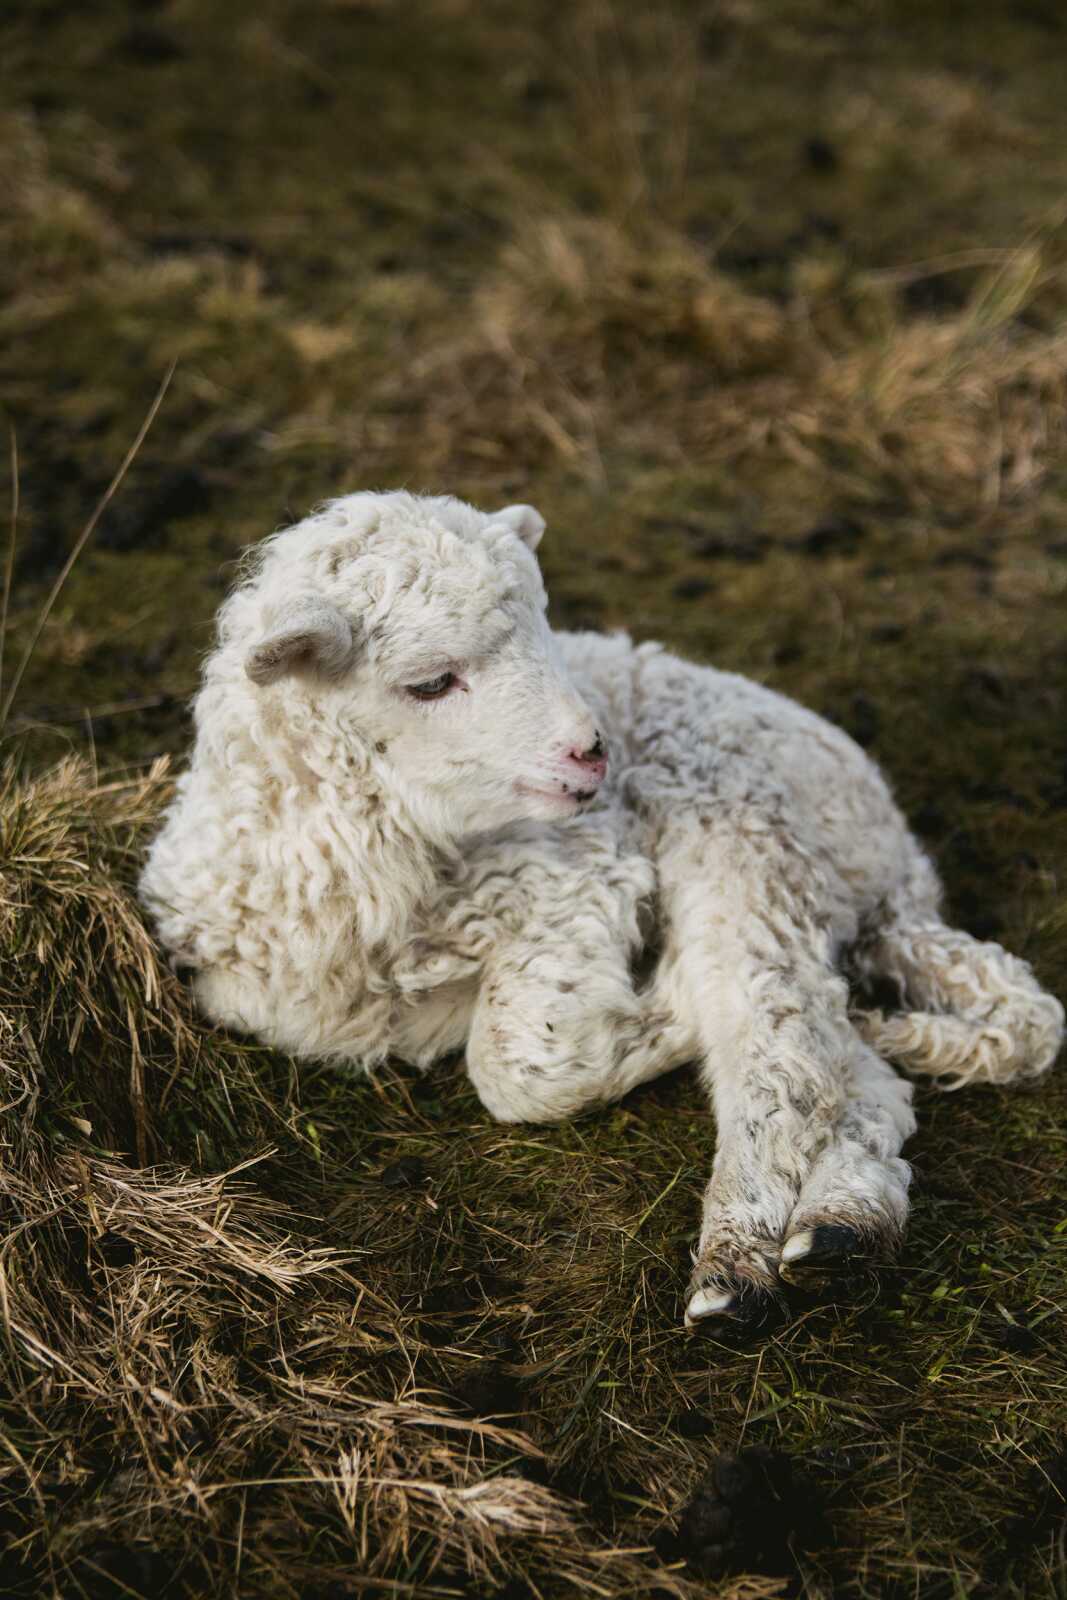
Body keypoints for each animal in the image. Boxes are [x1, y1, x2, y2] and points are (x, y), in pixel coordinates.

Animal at [140, 490, 1065, 1328]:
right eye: (430, 682)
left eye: (547, 632)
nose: (591, 752)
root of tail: (897, 870)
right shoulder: (258, 993)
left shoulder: (577, 876)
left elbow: (516, 1069)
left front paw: (664, 1006)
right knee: (853, 1068)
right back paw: (842, 1226)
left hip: (746, 828)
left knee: (776, 1038)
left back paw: (736, 1268)